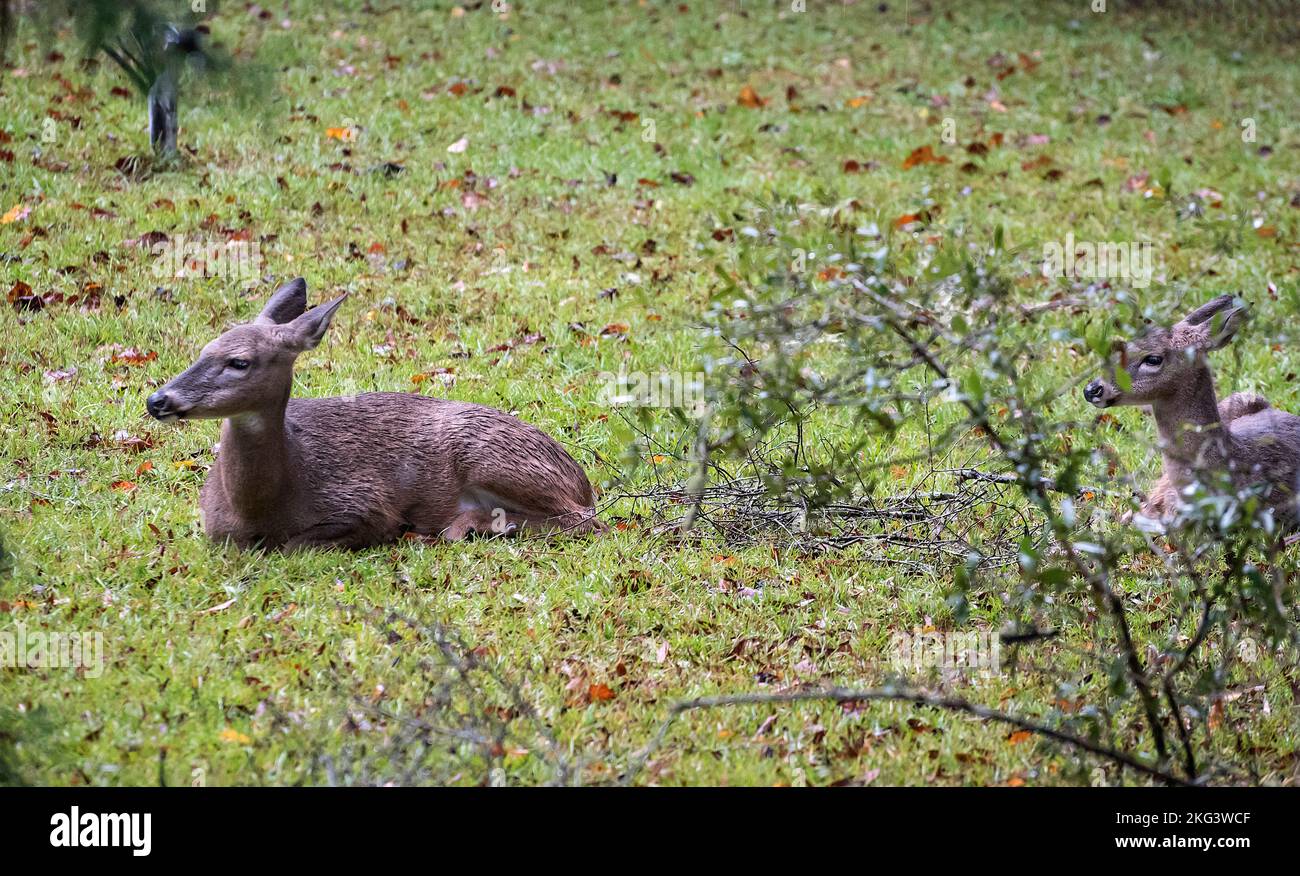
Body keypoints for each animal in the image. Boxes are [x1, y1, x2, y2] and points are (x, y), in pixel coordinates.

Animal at [146, 278, 606, 549]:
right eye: (204, 348)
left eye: (239, 361)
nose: (158, 400)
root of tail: (582, 479)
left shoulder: (365, 503)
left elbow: (298, 543)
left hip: (490, 454)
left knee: (584, 519)